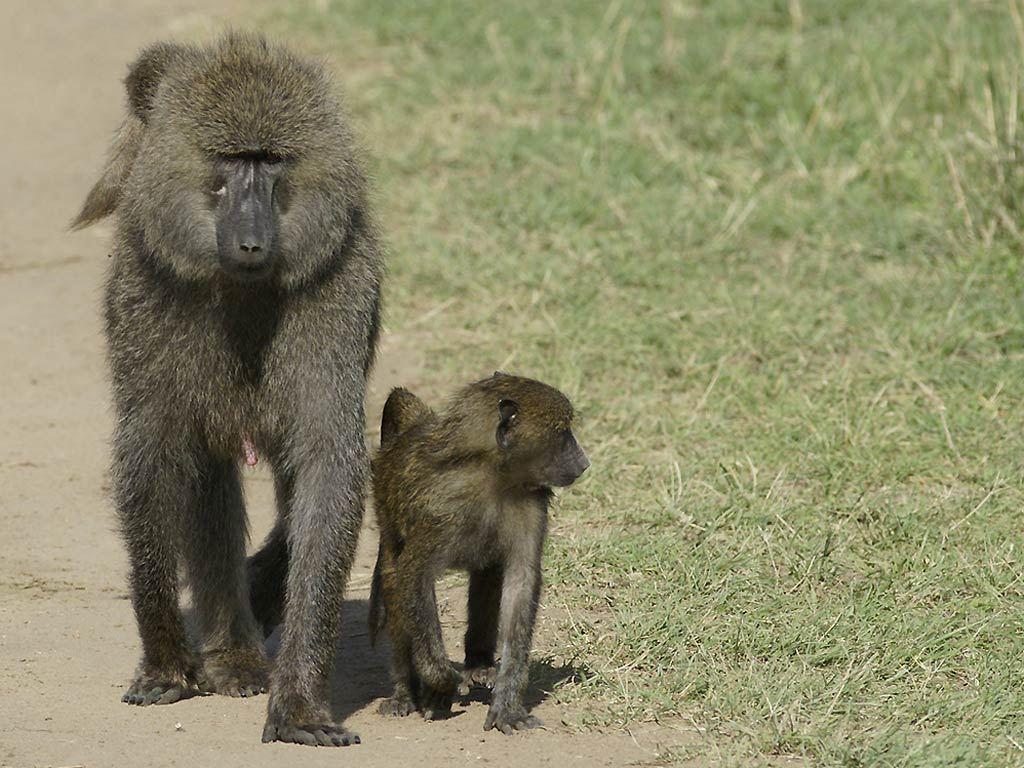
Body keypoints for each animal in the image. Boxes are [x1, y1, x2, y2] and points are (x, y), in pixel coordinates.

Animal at [71, 33, 382, 747]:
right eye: (231, 160)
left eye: (269, 161)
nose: (251, 240)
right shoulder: (151, 301)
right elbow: (154, 458)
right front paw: (165, 663)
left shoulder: (337, 297)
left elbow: (327, 471)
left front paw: (299, 706)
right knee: (207, 479)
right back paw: (232, 653)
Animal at [367, 372, 589, 734]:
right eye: (562, 433)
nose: (584, 462)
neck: (493, 477)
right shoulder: (440, 508)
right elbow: (414, 574)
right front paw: (440, 681)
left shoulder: (532, 503)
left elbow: (520, 581)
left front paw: (507, 705)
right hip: (385, 516)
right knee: (394, 578)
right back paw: (404, 691)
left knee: (488, 572)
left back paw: (479, 663)